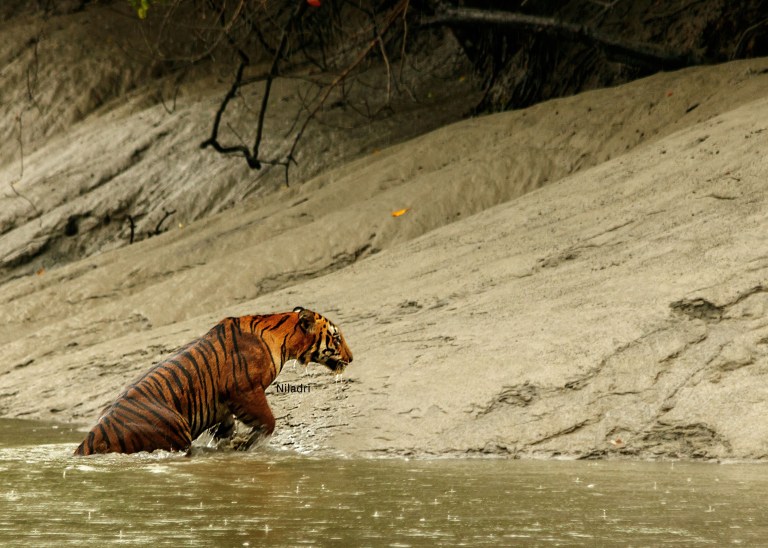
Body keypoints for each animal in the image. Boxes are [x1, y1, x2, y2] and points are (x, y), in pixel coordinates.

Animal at [73, 307, 352, 456]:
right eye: (337, 338)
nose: (351, 358)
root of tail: (90, 438)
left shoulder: (224, 404)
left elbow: (227, 428)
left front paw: (230, 442)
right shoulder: (245, 391)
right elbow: (268, 421)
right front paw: (244, 444)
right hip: (175, 431)